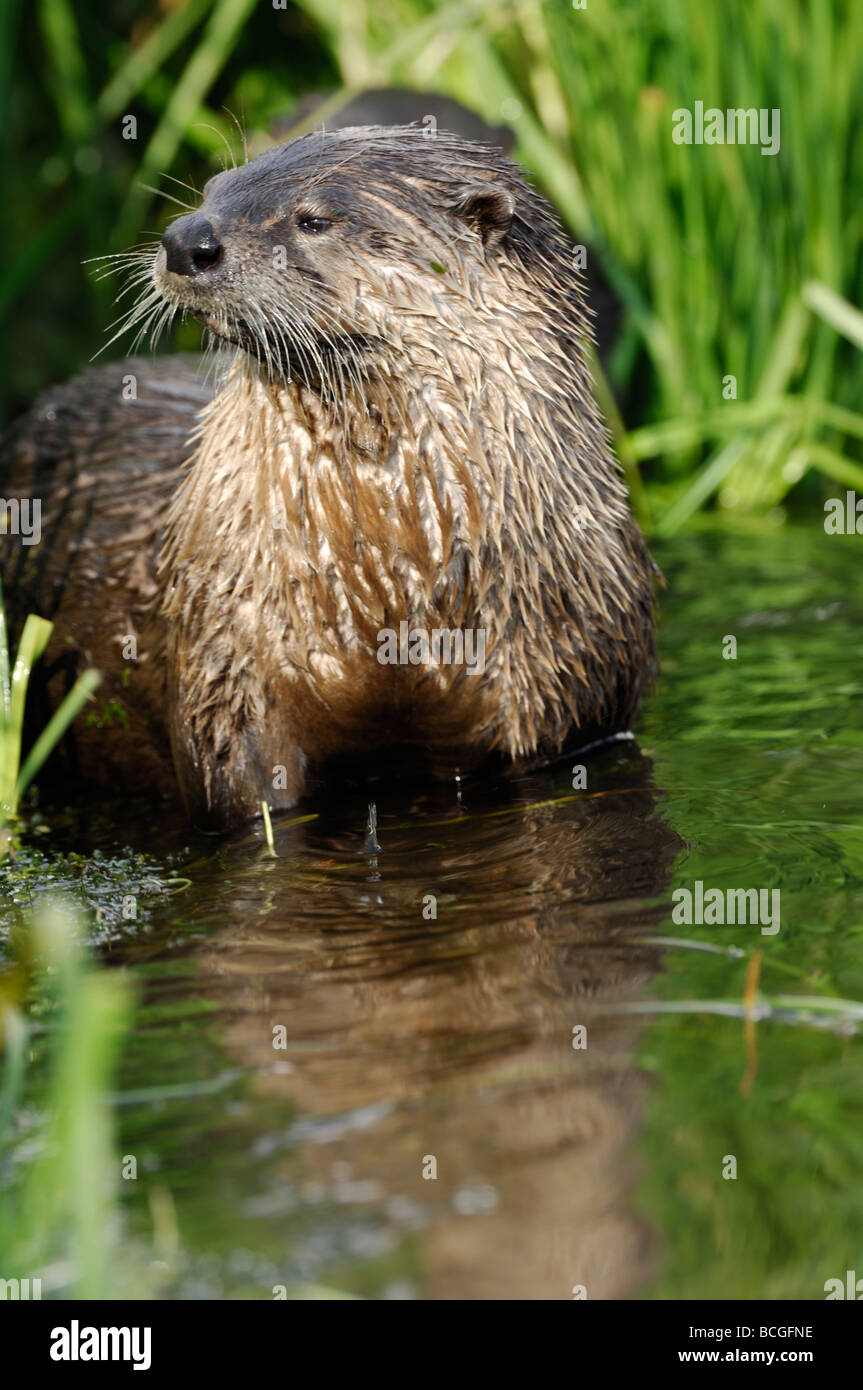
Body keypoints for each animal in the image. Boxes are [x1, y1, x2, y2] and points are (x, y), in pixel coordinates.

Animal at [2, 127, 657, 827]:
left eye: (314, 219)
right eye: (211, 189)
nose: (185, 241)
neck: (386, 578)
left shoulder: (562, 699)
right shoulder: (228, 670)